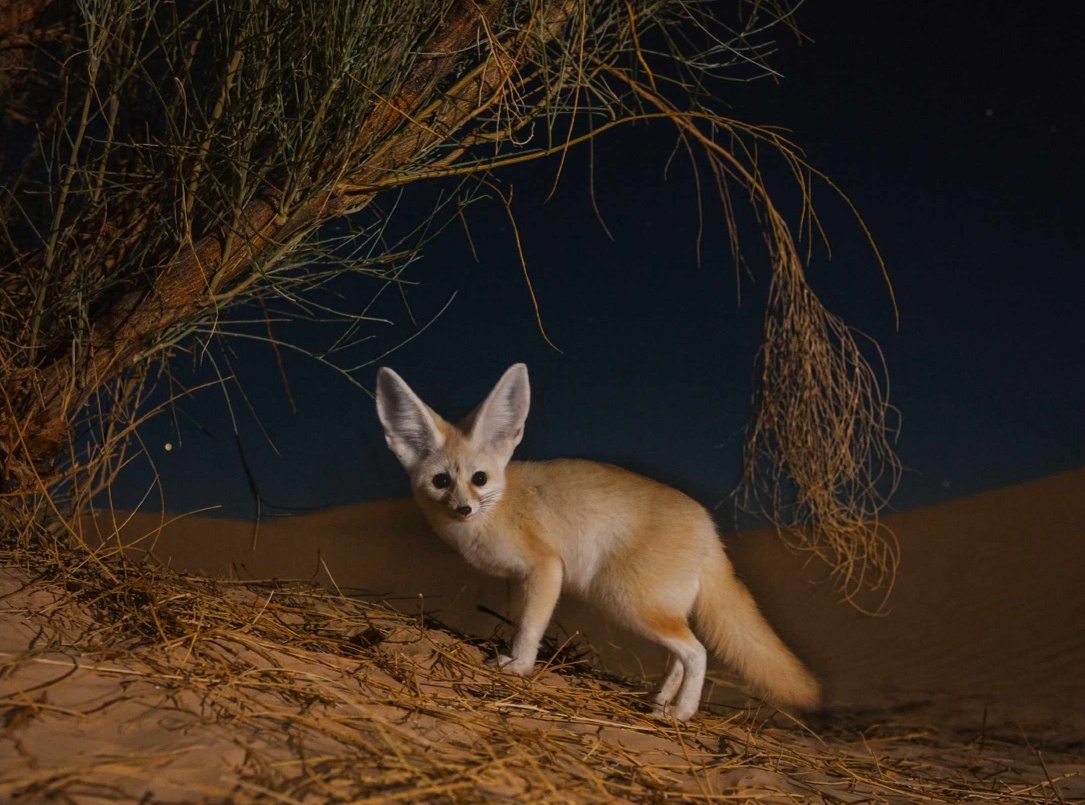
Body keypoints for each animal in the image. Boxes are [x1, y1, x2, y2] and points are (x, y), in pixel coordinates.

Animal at [375, 363, 819, 720]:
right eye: (441, 482)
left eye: (479, 479)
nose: (464, 508)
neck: (498, 506)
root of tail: (710, 528)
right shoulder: (519, 580)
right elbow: (519, 620)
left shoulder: (546, 568)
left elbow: (530, 628)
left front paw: (519, 666)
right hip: (656, 607)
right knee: (680, 656)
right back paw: (660, 701)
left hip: (626, 600)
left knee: (696, 652)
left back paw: (681, 713)